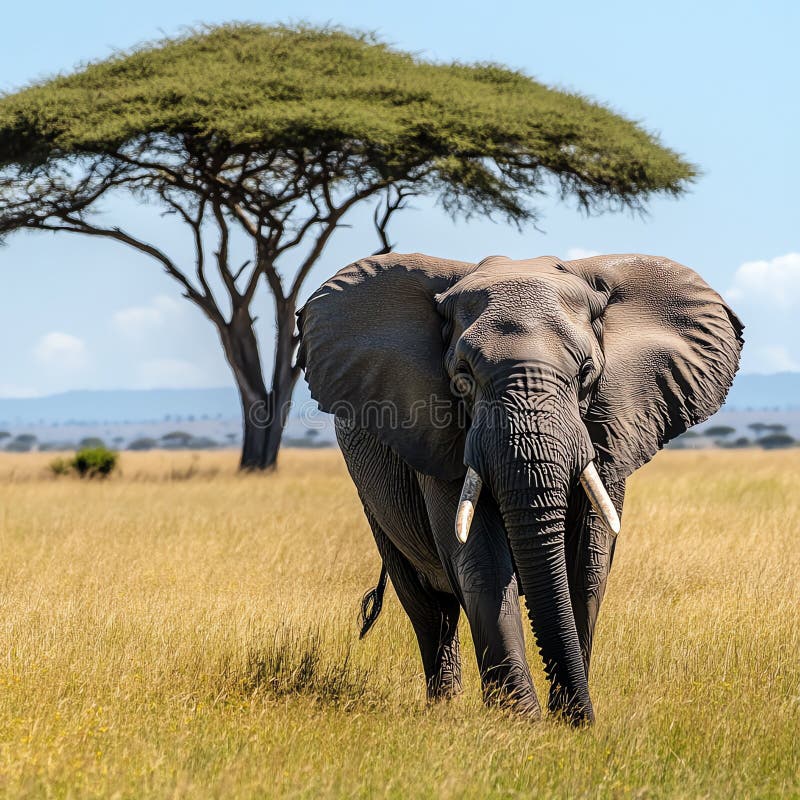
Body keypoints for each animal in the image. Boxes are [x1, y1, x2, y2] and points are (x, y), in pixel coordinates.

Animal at [297, 252, 743, 725]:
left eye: (586, 375)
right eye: (462, 378)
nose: (583, 718)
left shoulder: (611, 430)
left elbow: (587, 567)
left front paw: (568, 720)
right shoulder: (438, 436)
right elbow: (483, 563)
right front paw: (520, 721)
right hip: (371, 493)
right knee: (426, 605)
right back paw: (443, 708)